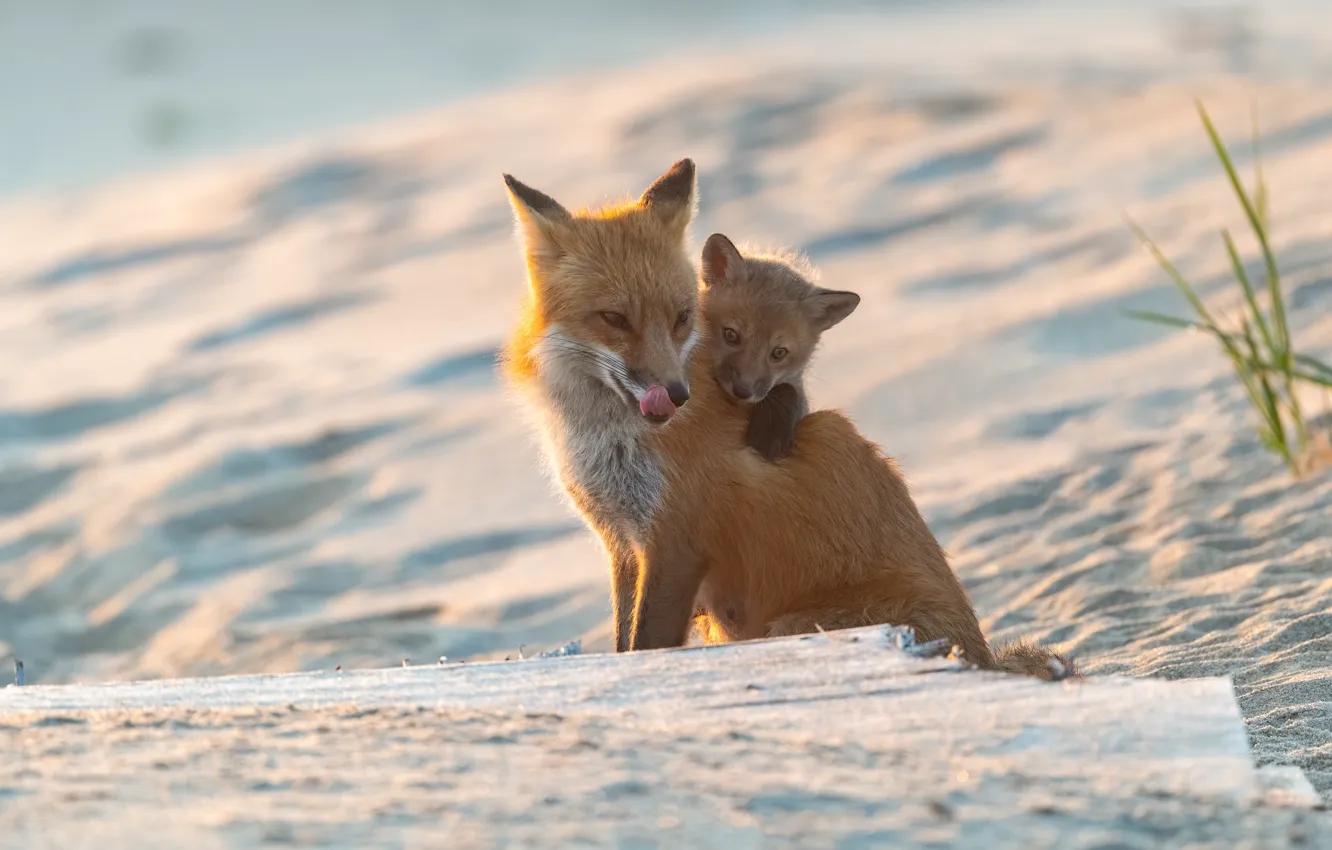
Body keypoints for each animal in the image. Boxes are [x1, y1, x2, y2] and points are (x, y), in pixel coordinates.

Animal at [499, 158, 1075, 681]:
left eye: (682, 318)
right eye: (614, 319)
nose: (678, 396)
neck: (604, 438)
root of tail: (982, 655)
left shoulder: (674, 542)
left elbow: (645, 646)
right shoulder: (623, 542)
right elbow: (624, 641)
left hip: (791, 625)